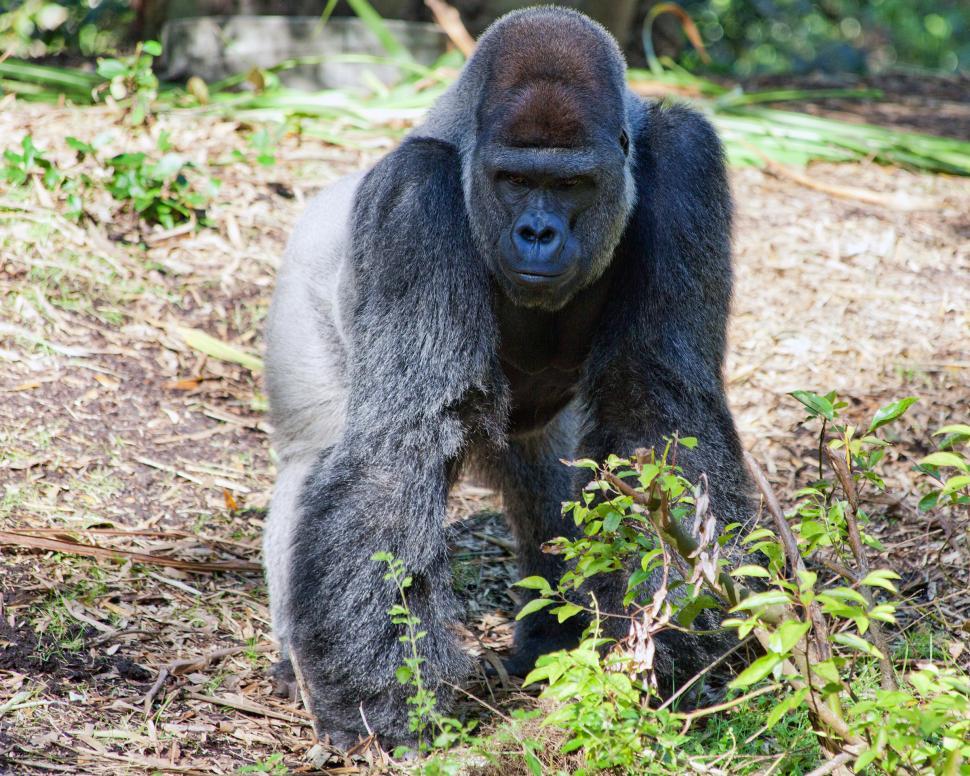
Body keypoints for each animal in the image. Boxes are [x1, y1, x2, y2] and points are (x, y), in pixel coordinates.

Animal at [262, 6, 752, 747]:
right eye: (515, 180)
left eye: (570, 184)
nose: (537, 233)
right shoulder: (413, 196)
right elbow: (396, 449)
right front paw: (382, 701)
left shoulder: (686, 162)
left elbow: (659, 410)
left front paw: (668, 640)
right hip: (306, 275)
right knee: (313, 456)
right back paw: (295, 659)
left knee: (548, 480)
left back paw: (554, 640)